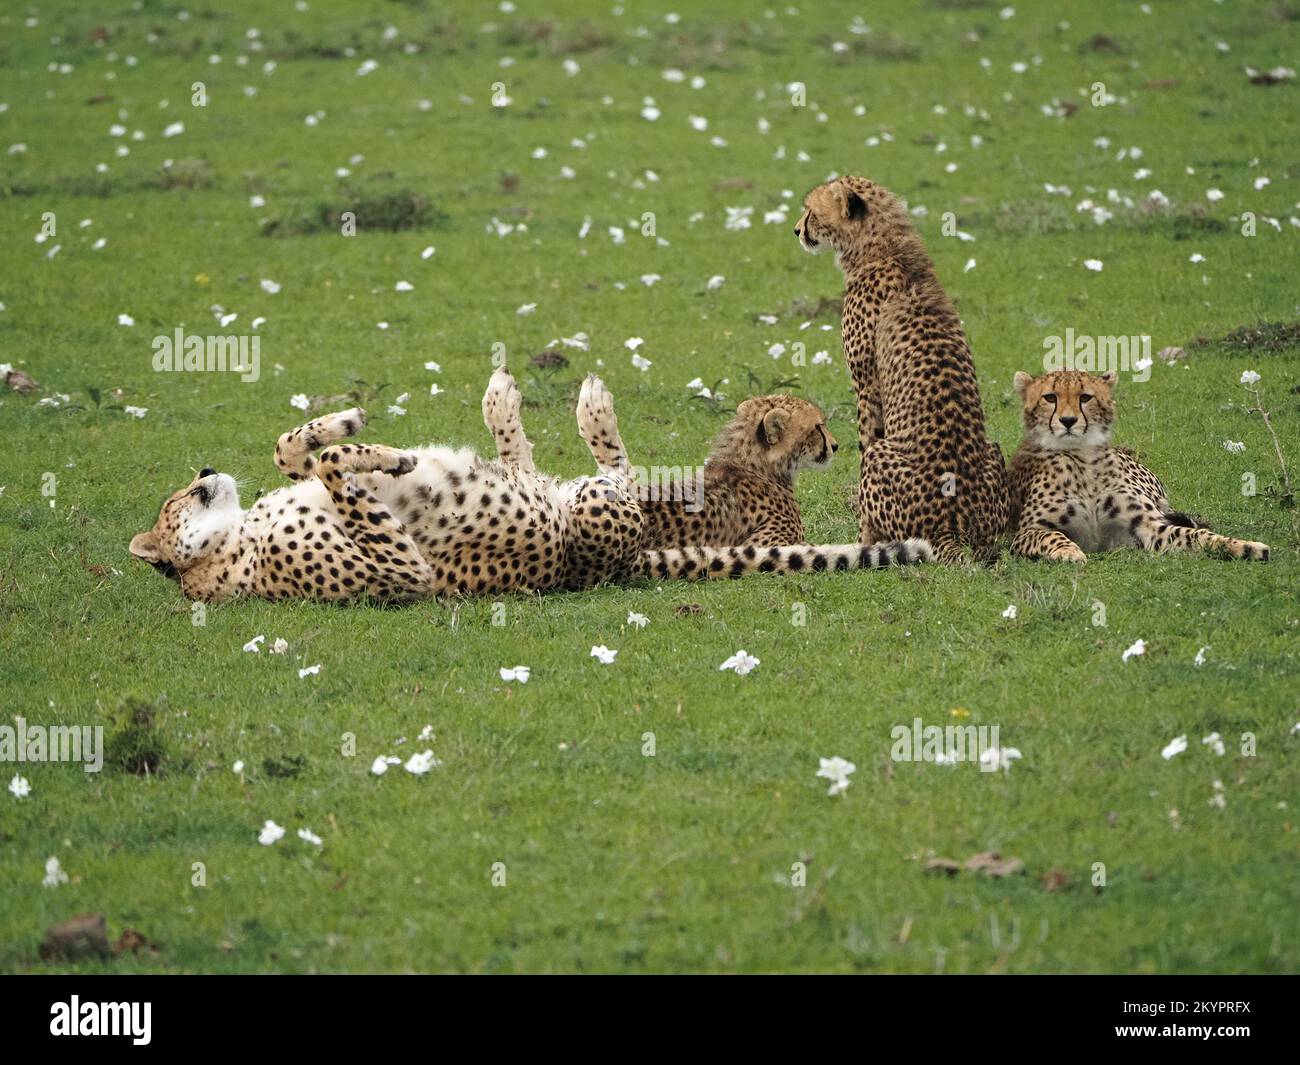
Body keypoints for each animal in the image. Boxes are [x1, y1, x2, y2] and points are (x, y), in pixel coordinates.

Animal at [794, 175, 1010, 562]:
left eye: (812, 212)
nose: (796, 230)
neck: (884, 250)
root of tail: (953, 528)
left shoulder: (866, 386)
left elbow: (865, 442)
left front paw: (862, 541)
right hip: (994, 452)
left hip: (883, 458)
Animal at [1008, 369, 1270, 562]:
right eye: (1050, 397)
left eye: (1085, 397)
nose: (1068, 420)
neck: (1083, 459)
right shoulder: (1026, 532)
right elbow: (1052, 536)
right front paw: (1068, 551)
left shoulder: (1149, 527)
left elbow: (1195, 535)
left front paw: (1242, 546)